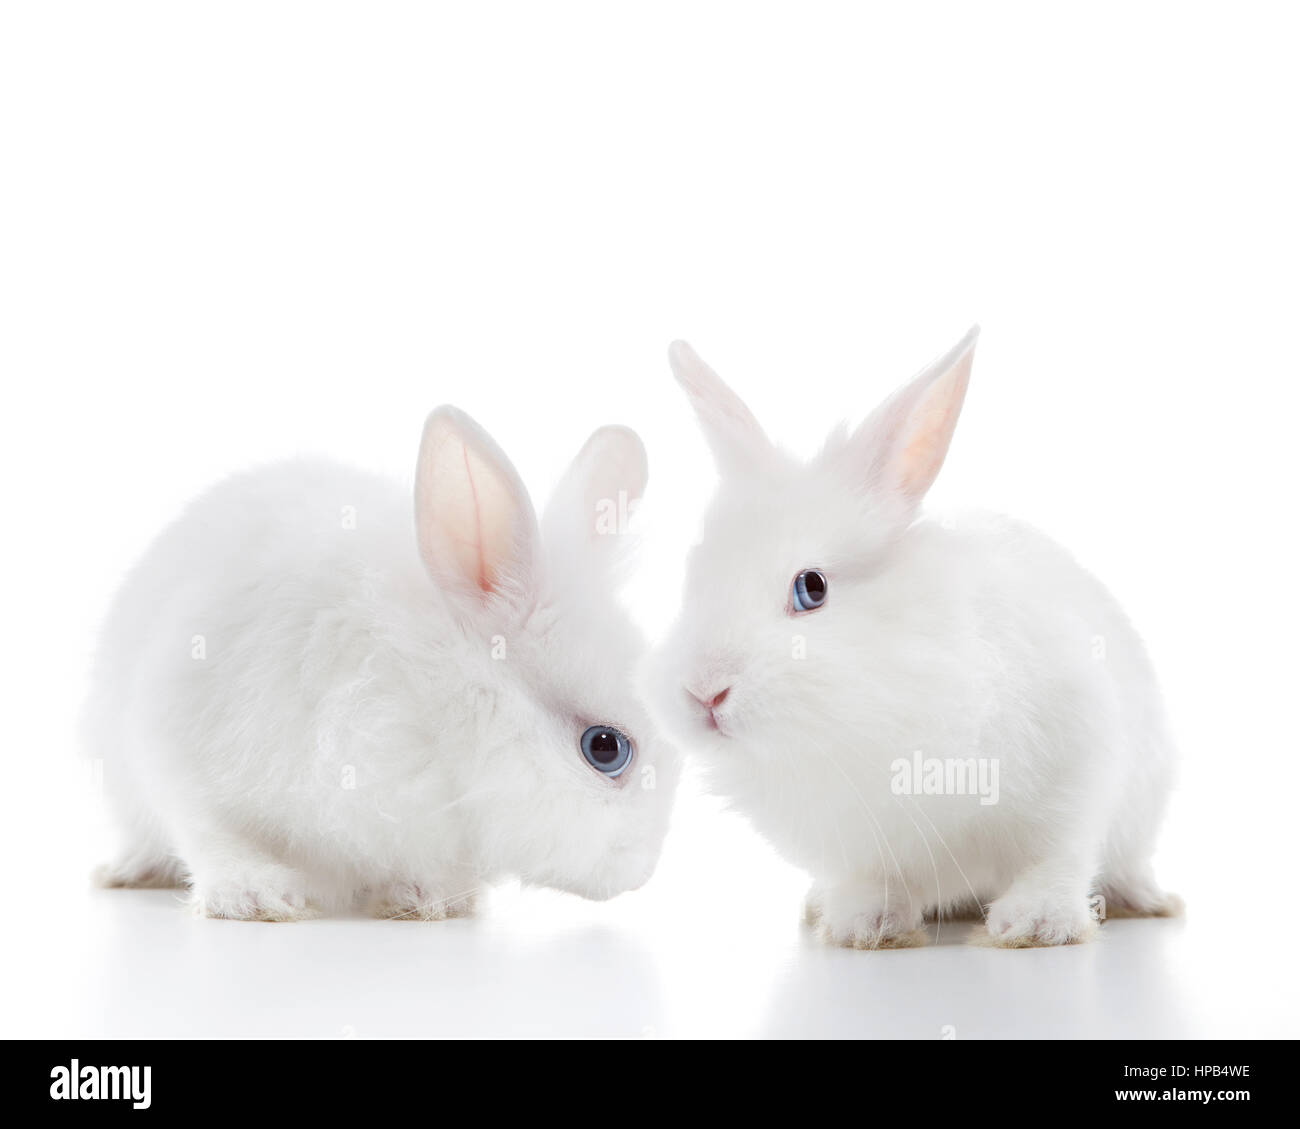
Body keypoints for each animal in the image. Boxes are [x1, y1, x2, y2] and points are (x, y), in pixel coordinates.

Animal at [85, 405, 678, 920]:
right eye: (605, 748)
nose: (640, 877)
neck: (424, 698)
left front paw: (428, 901)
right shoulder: (176, 744)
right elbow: (209, 834)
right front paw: (257, 898)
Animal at [653, 327, 1179, 948]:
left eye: (812, 587)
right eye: (694, 575)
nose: (703, 692)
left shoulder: (1081, 758)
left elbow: (1058, 855)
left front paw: (1034, 923)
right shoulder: (860, 844)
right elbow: (876, 881)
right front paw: (864, 926)